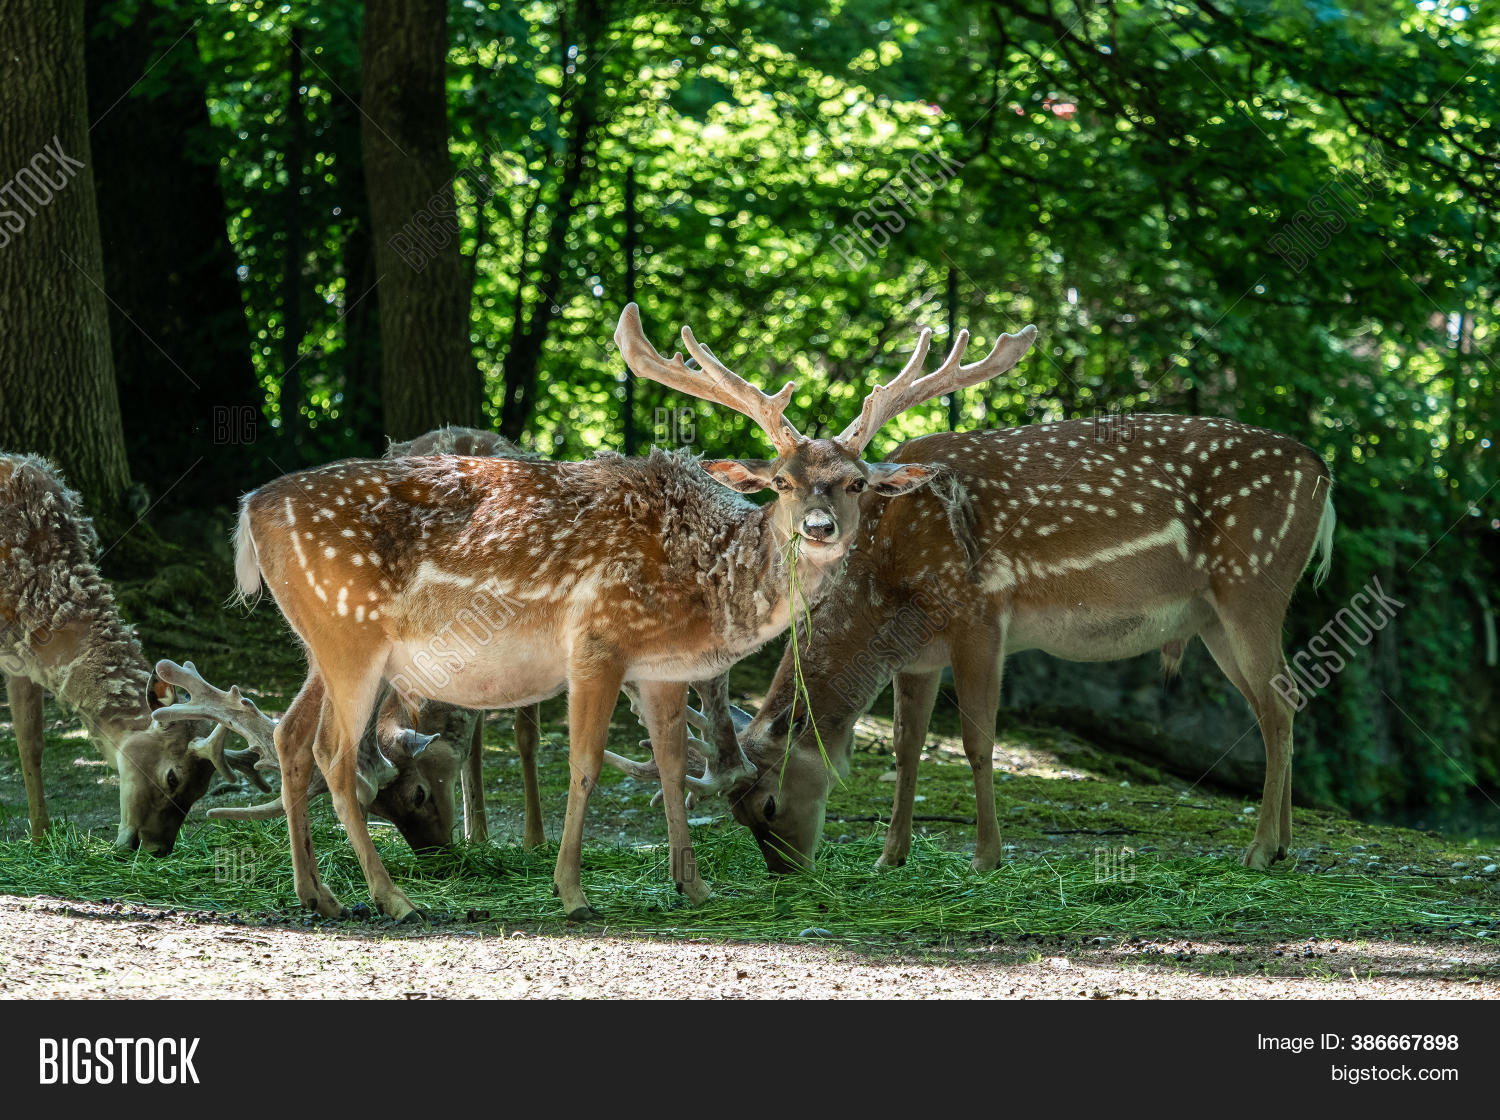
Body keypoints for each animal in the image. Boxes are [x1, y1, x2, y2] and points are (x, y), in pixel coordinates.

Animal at [0, 453, 263, 854]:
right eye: (172, 777)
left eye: (201, 791)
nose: (157, 849)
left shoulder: (22, 660)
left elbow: (31, 745)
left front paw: (41, 838)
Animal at [229, 304, 1036, 920]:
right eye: (781, 480)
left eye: (857, 482)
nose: (818, 527)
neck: (707, 586)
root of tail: (249, 511)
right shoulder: (598, 641)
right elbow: (585, 763)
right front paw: (571, 891)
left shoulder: (662, 667)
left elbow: (674, 766)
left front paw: (694, 884)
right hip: (351, 636)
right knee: (334, 754)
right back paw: (393, 898)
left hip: (323, 640)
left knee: (290, 738)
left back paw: (320, 895)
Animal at [615, 416, 1335, 875]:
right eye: (739, 819)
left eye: (767, 802)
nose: (785, 869)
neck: (888, 587)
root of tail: (1323, 475)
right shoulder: (918, 652)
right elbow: (906, 747)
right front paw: (891, 856)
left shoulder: (981, 615)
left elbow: (976, 742)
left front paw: (986, 858)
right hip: (1212, 617)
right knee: (1284, 702)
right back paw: (1284, 845)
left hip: (1253, 582)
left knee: (1278, 702)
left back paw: (1258, 850)